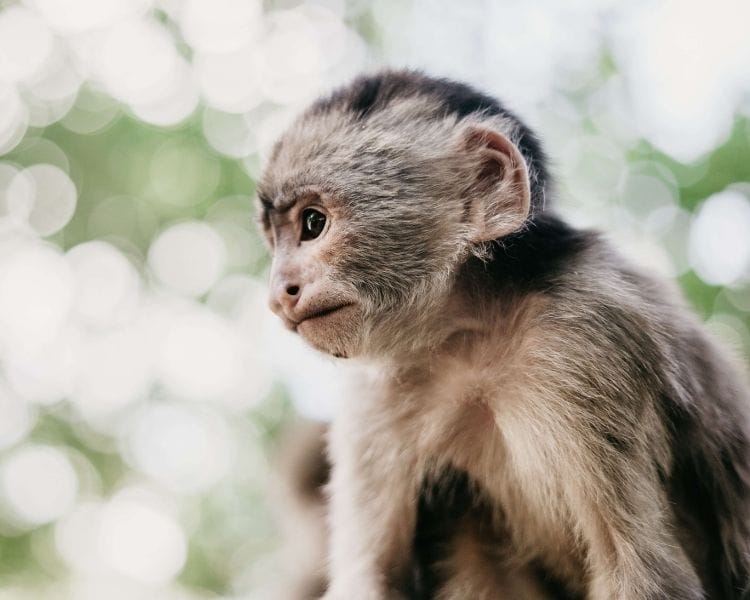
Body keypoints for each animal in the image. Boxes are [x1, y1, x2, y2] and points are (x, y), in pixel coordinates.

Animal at [256, 70, 750, 599]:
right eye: (276, 240)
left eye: (313, 224)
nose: (279, 294)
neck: (475, 334)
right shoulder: (372, 399)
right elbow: (374, 579)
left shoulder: (594, 332)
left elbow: (641, 569)